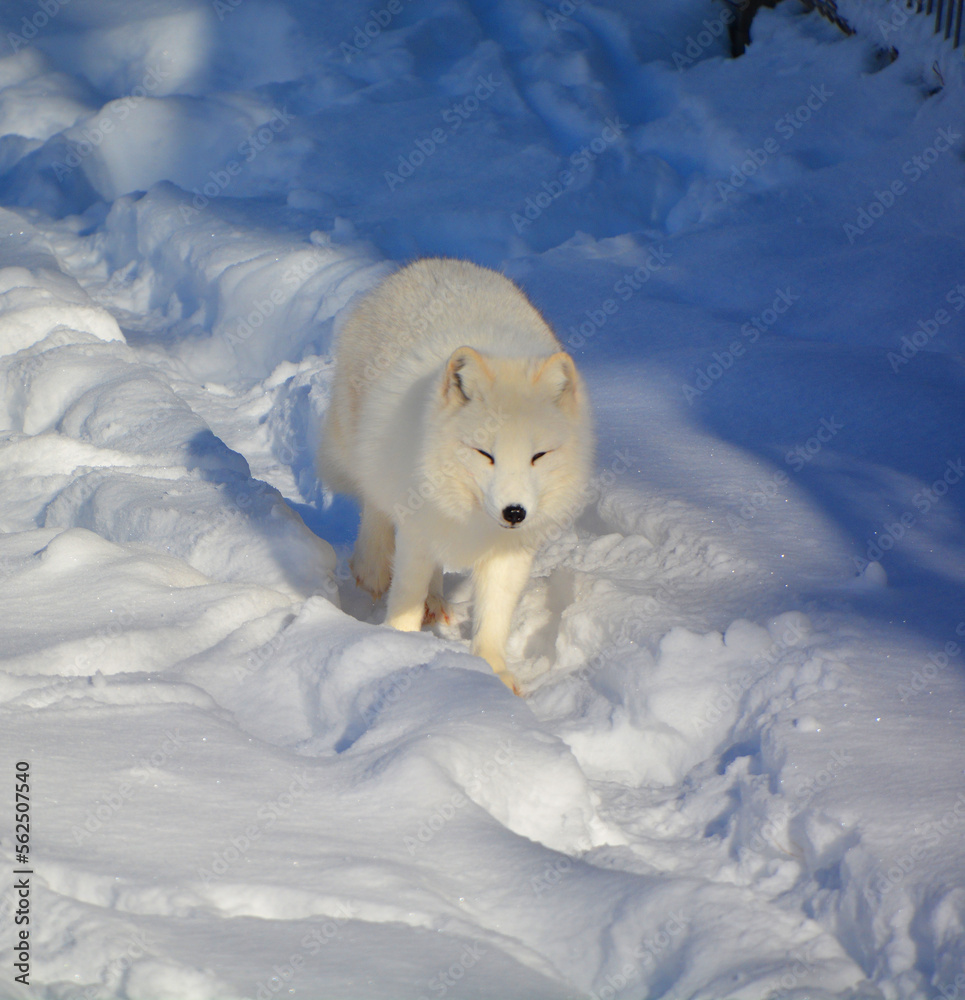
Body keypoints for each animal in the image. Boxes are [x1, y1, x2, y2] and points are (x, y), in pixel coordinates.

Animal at [318, 258, 593, 693]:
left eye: (538, 456)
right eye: (485, 454)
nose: (515, 512)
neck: (473, 520)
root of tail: (434, 262)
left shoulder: (509, 554)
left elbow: (494, 616)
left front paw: (493, 673)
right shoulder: (416, 528)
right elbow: (405, 595)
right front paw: (397, 647)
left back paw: (435, 601)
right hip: (367, 453)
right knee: (374, 505)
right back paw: (373, 568)